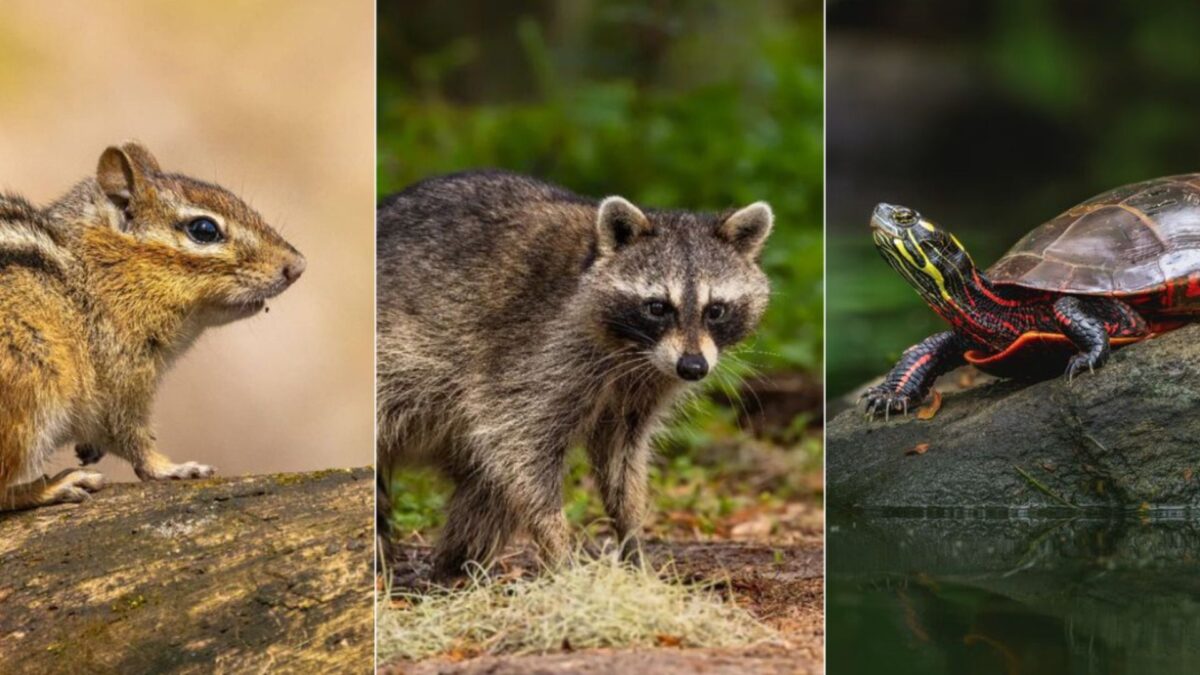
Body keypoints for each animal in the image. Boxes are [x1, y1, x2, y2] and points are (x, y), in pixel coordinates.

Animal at [376, 170, 773, 578]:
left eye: (716, 310)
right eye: (657, 307)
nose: (693, 368)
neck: (633, 351)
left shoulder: (642, 388)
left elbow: (621, 461)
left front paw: (632, 536)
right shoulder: (537, 354)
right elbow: (520, 447)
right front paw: (558, 546)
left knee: (486, 491)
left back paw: (456, 566)